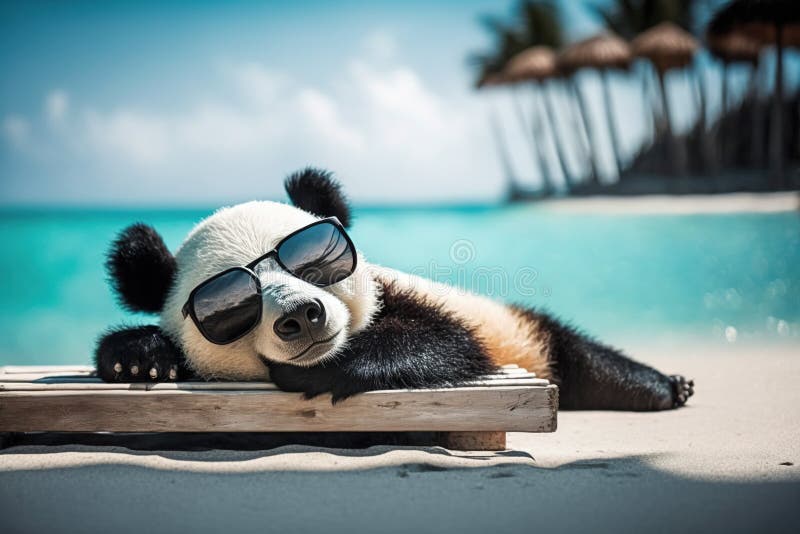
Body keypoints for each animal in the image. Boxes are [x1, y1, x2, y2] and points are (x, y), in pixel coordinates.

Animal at [95, 168, 694, 410]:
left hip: (522, 330)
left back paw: (666, 387)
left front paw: (323, 372)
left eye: (312, 263)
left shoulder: (409, 296)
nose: (304, 316)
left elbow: (445, 343)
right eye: (231, 308)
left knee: (584, 359)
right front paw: (139, 357)